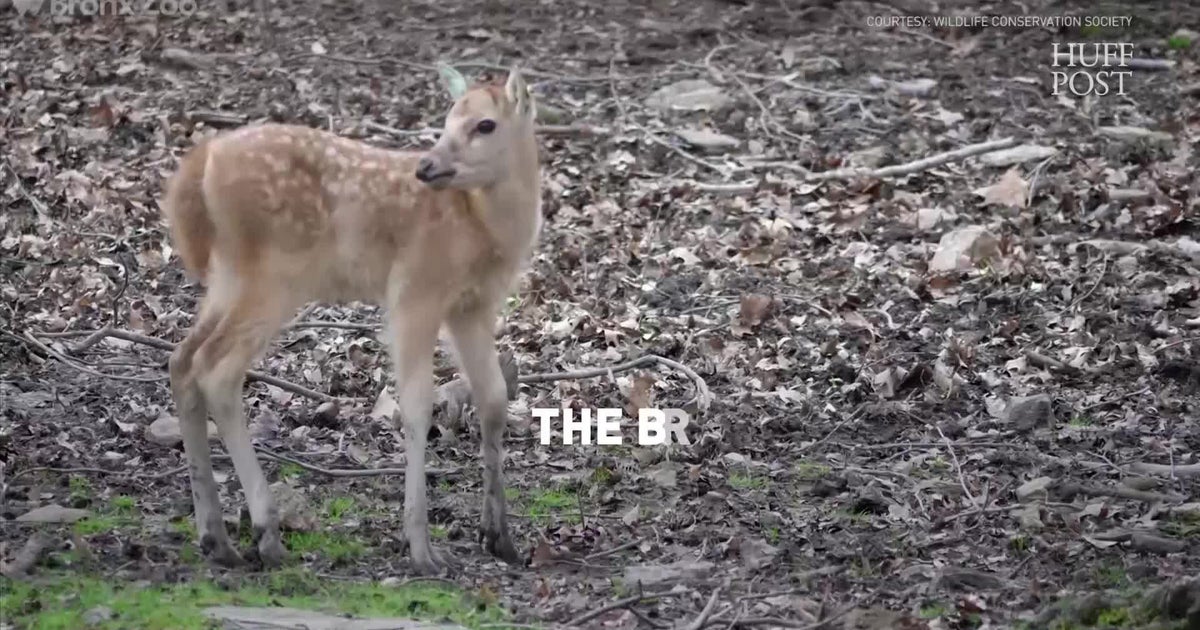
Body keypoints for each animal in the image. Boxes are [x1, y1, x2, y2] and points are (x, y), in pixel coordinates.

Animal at [159, 64, 541, 575]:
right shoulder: (416, 291)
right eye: (446, 120)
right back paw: (266, 534)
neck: (483, 229)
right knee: (217, 370)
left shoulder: (473, 307)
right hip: (274, 275)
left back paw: (216, 537)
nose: (426, 167)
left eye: (485, 125)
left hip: (229, 276)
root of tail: (204, 161)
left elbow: (495, 400)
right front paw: (421, 547)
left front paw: (500, 537)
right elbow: (417, 406)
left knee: (182, 360)